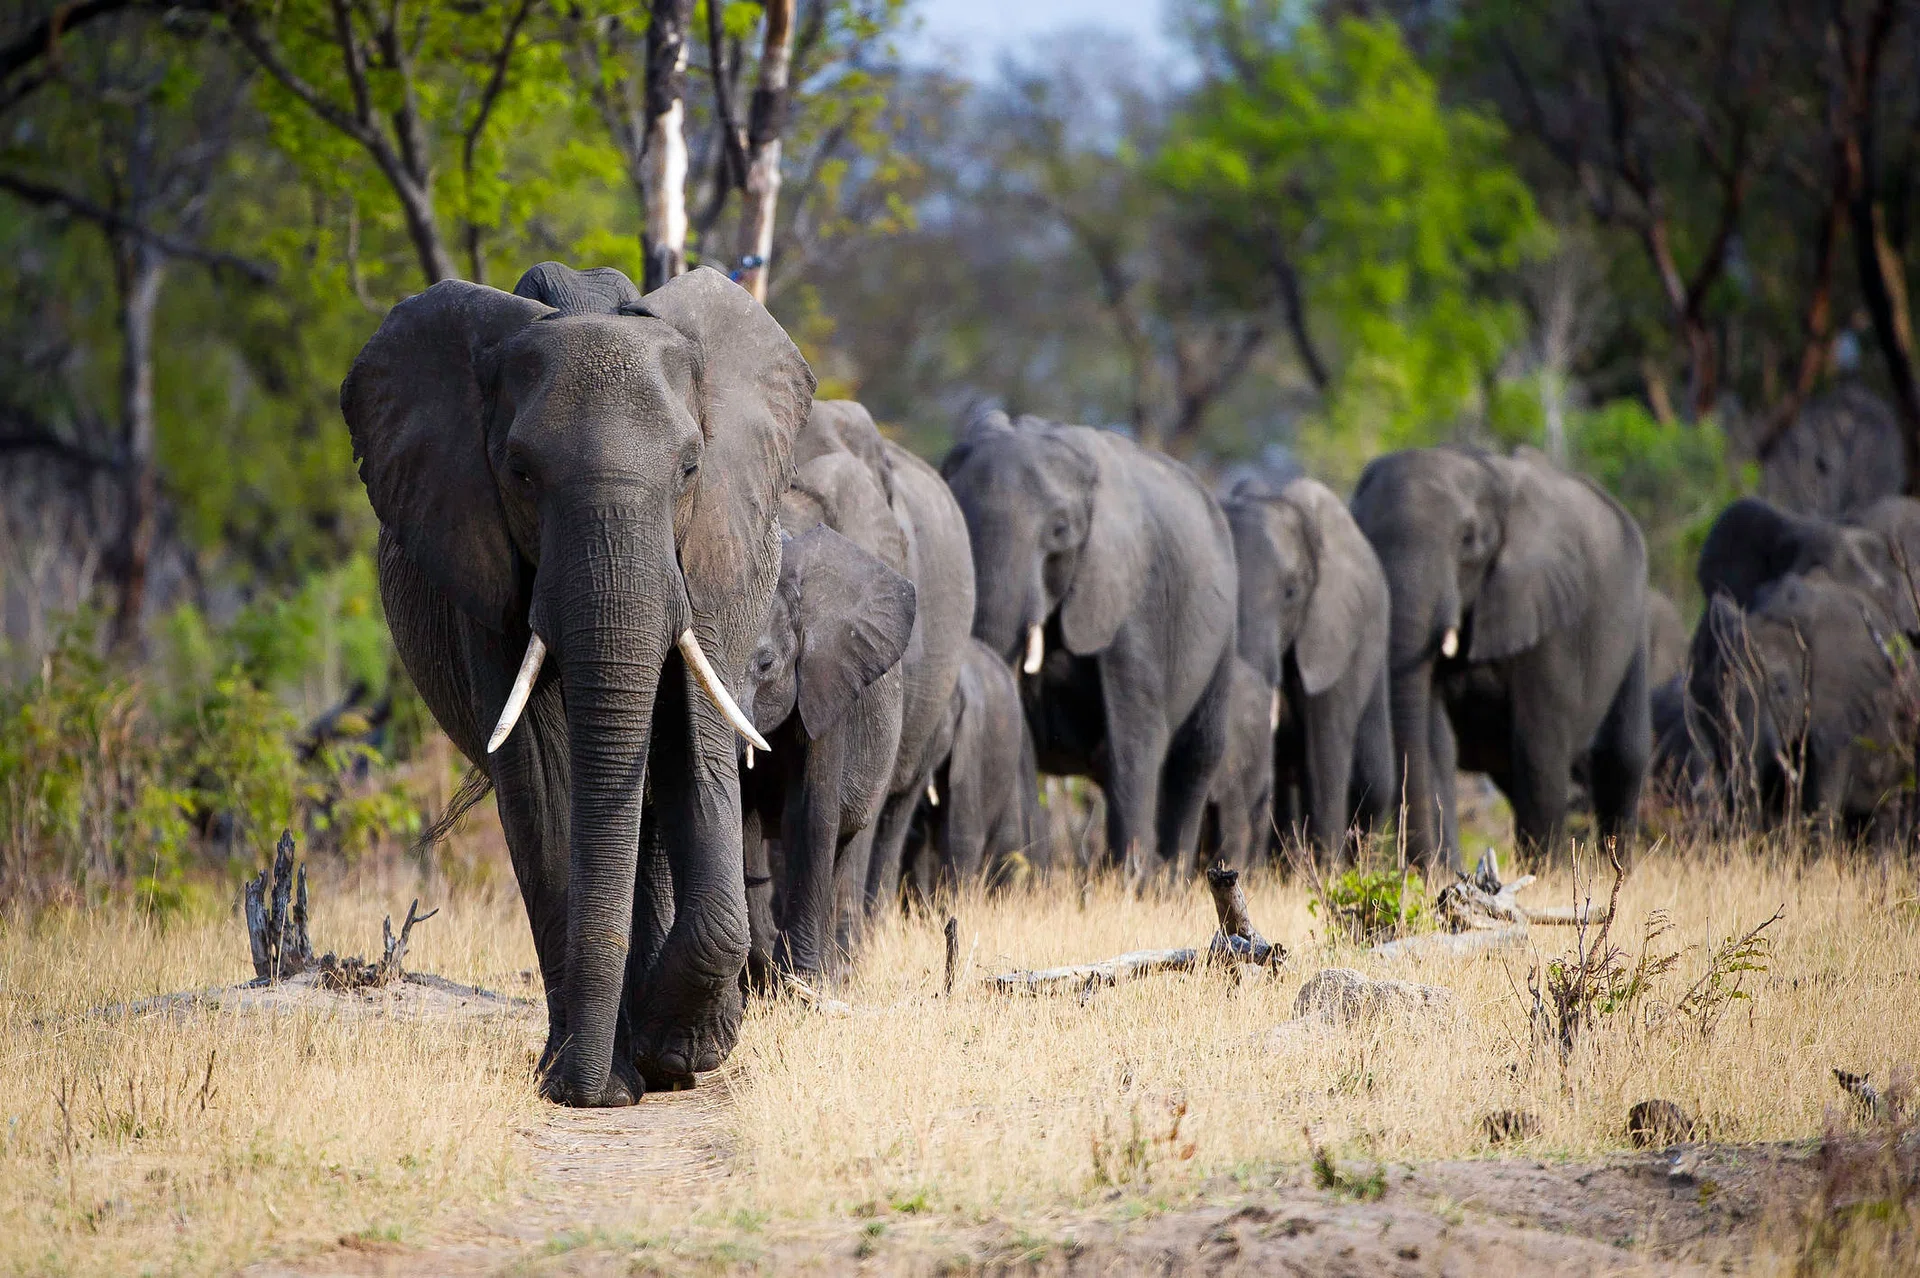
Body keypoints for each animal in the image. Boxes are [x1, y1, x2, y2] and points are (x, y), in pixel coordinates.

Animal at [345, 263, 814, 1106]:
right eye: (521, 473)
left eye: (690, 468)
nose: (586, 1087)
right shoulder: (479, 558)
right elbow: (540, 772)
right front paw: (592, 1081)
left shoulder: (711, 552)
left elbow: (693, 742)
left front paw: (677, 1051)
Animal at [940, 411, 1238, 881]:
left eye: (1060, 531)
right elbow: (1022, 735)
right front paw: (1034, 878)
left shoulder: (1131, 591)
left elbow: (1135, 734)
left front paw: (1129, 884)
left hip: (1224, 630)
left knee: (1194, 758)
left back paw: (1170, 881)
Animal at [1350, 445, 1651, 870]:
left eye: (1468, 540)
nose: (1422, 868)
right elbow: (1434, 739)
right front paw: (1445, 873)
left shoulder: (1549, 616)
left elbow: (1538, 744)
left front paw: (1546, 873)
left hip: (1635, 620)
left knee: (1621, 756)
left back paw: (1613, 866)